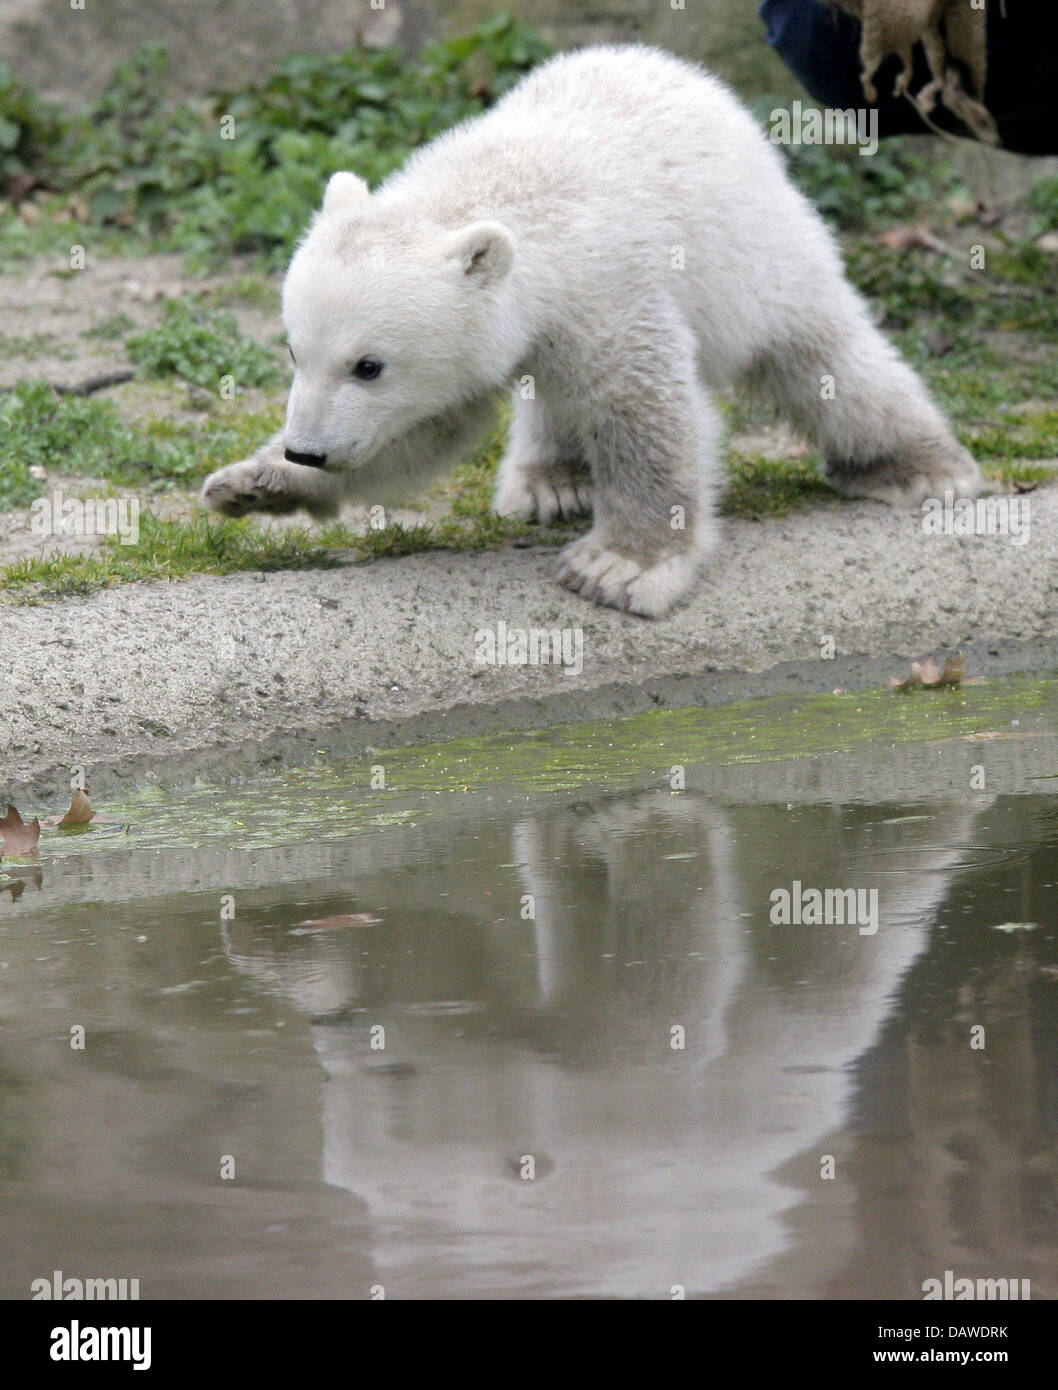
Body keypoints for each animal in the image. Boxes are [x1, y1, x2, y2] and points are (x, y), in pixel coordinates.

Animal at [201, 44, 983, 617]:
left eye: (369, 365)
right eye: (294, 350)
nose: (306, 449)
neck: (509, 196)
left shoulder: (607, 288)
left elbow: (640, 407)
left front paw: (620, 568)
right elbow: (424, 432)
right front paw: (255, 484)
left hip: (755, 249)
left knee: (822, 356)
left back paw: (918, 466)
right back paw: (551, 483)